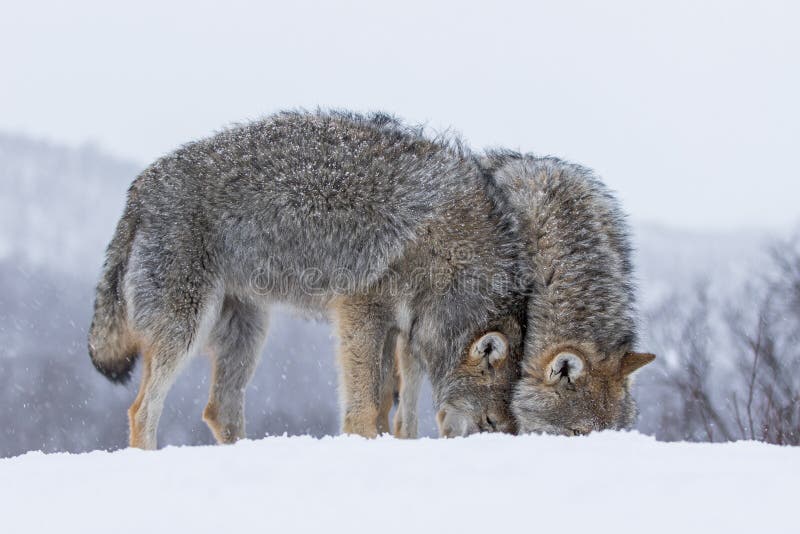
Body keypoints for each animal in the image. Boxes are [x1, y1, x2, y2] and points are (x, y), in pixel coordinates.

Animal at [88, 110, 526, 449]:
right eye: (489, 424)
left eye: (503, 427)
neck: (449, 245)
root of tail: (140, 188)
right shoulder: (360, 312)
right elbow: (365, 408)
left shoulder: (392, 327)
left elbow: (385, 405)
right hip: (187, 329)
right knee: (142, 409)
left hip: (249, 332)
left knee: (219, 410)